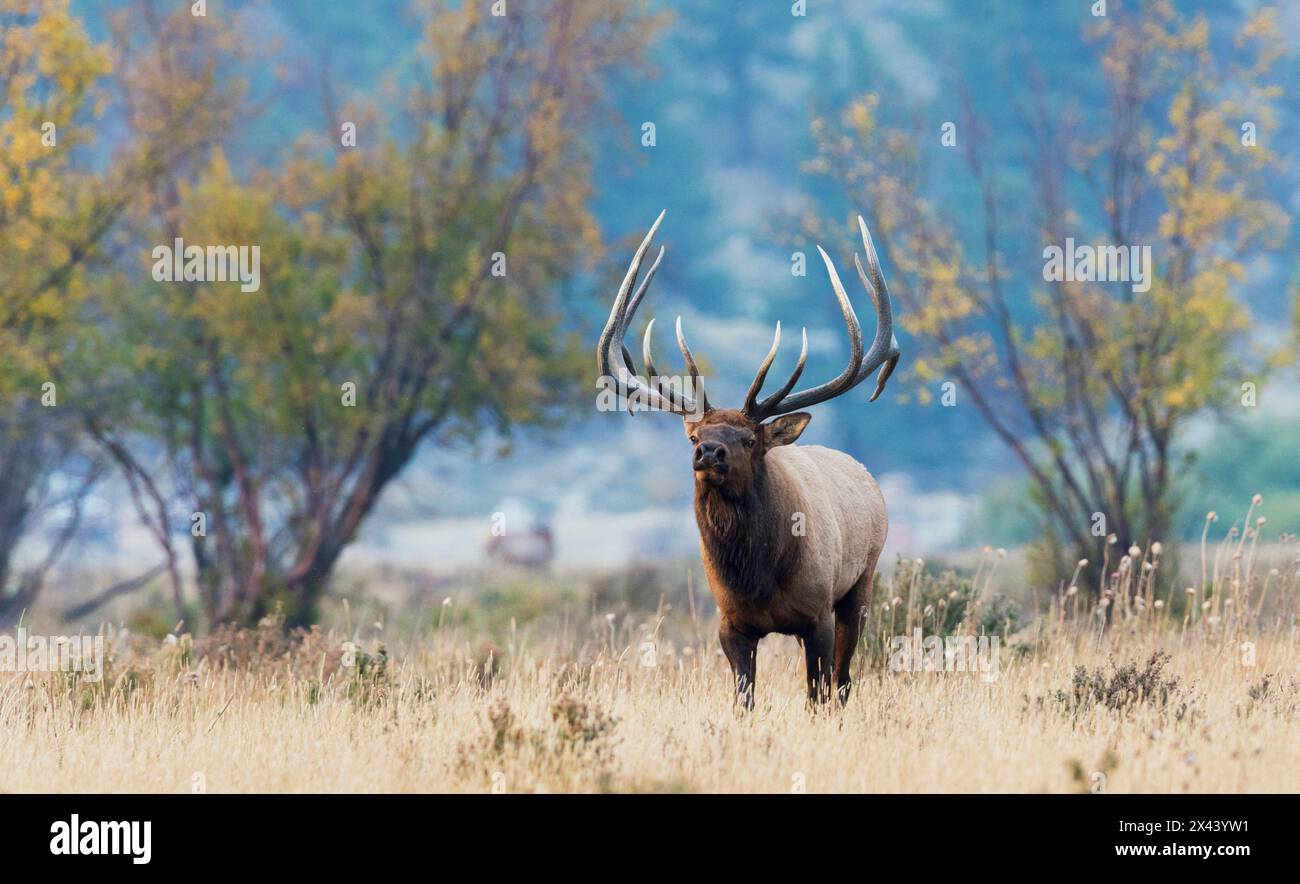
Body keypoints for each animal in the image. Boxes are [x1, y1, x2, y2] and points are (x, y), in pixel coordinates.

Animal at [597, 211, 900, 707]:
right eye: (694, 435)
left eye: (748, 439)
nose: (708, 451)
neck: (758, 577)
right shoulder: (730, 624)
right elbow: (744, 699)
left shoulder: (817, 613)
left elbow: (818, 694)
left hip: (862, 584)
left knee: (844, 680)